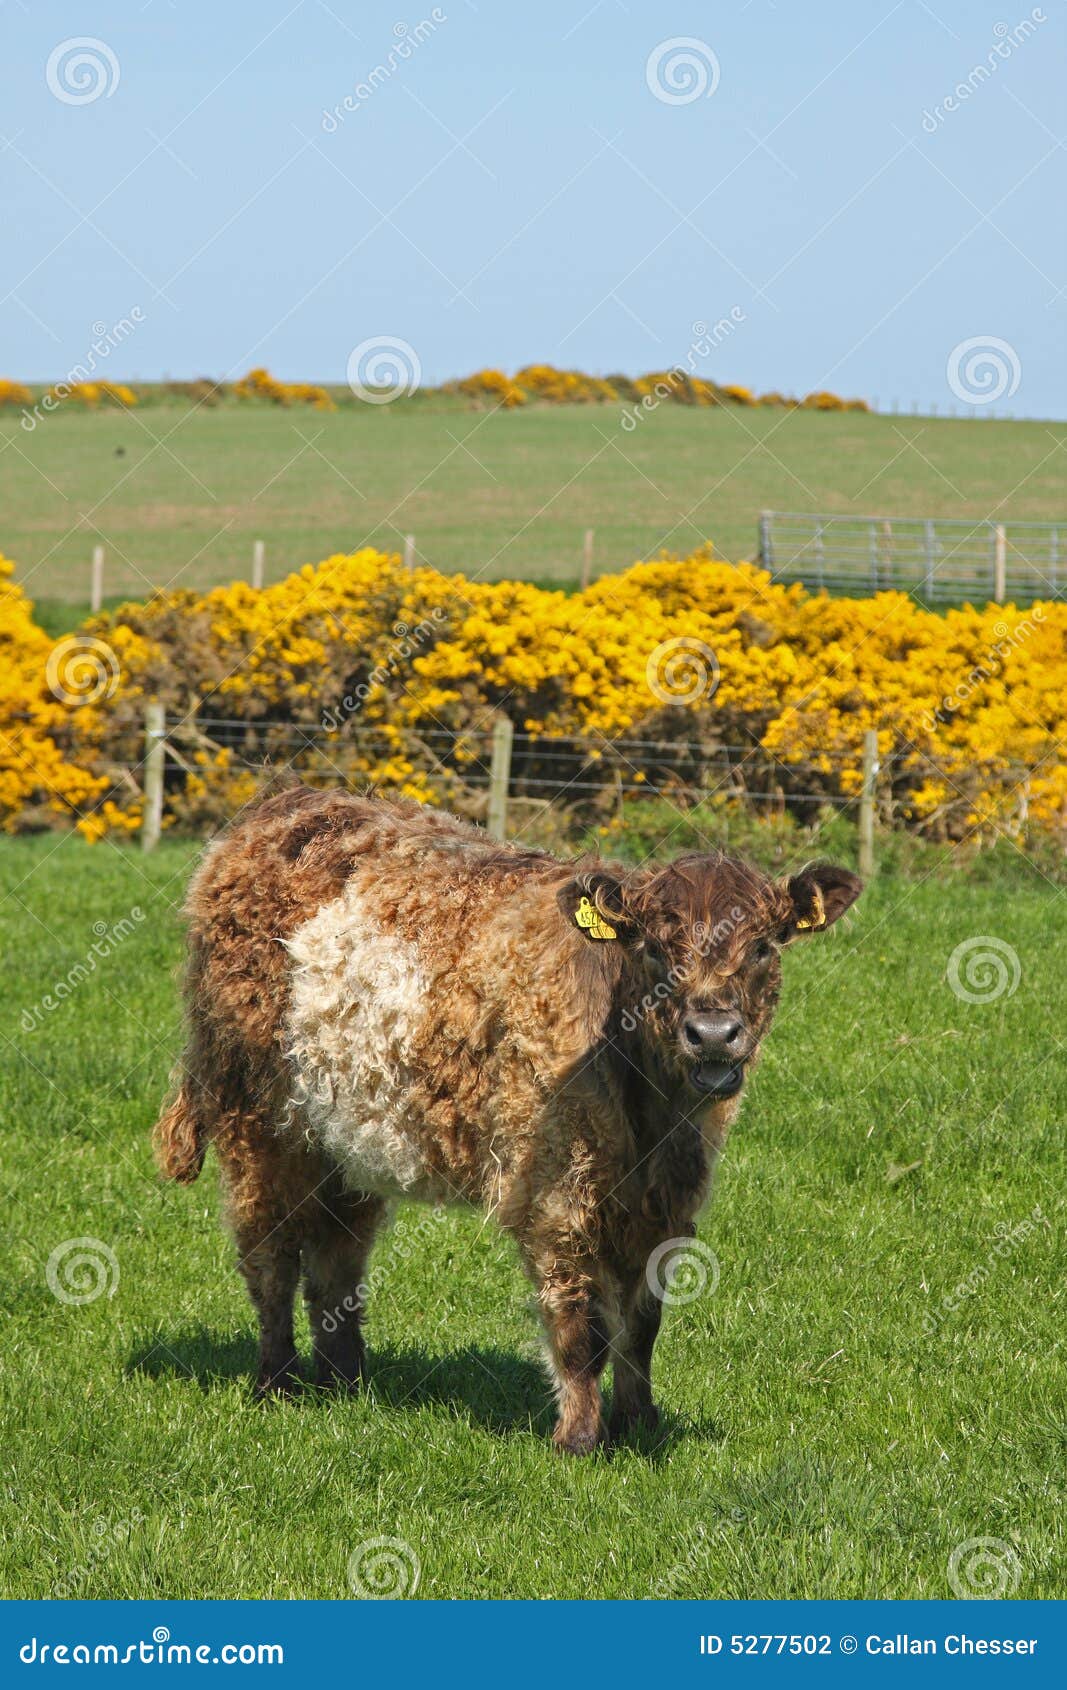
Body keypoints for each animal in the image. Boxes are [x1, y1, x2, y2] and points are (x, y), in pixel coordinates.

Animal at [154, 785, 861, 1454]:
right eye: (656, 950)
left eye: (764, 947)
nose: (713, 1035)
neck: (652, 1120)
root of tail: (283, 803)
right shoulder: (554, 1190)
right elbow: (582, 1330)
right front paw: (579, 1439)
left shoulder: (664, 1203)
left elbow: (642, 1324)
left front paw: (639, 1421)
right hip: (257, 1115)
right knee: (269, 1253)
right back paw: (276, 1382)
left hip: (344, 1132)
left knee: (336, 1257)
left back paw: (344, 1382)